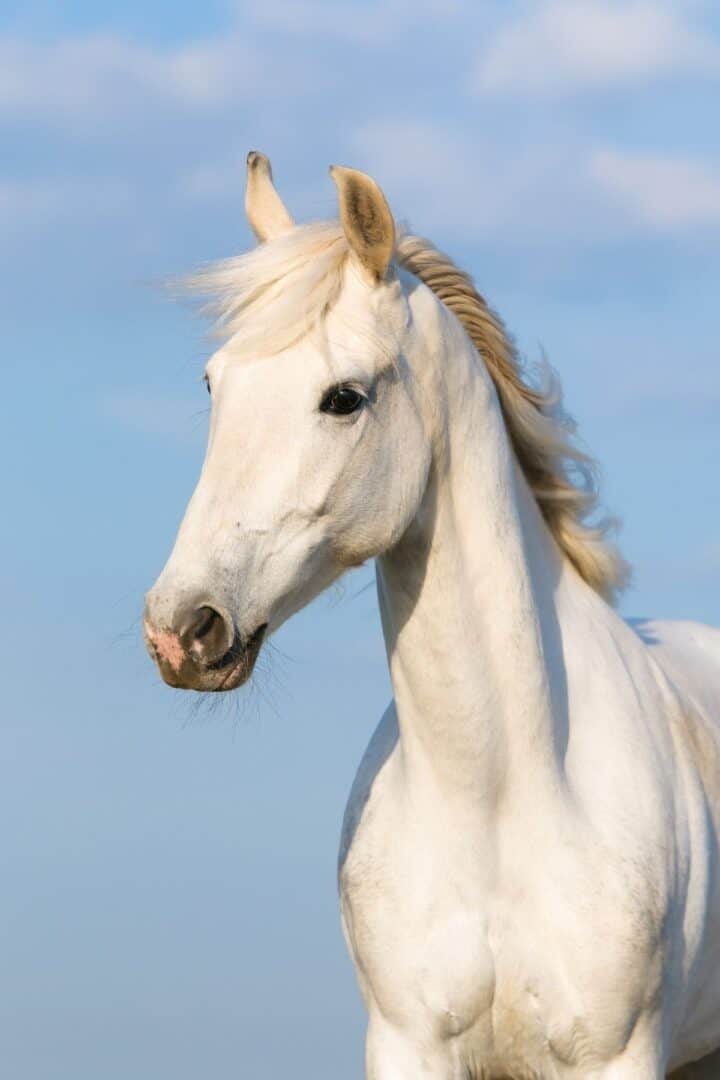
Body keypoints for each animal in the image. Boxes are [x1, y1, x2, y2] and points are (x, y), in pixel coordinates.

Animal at [144, 152, 720, 1079]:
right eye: (212, 383)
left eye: (343, 398)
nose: (182, 628)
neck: (499, 795)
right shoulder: (407, 1045)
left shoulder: (618, 1054)